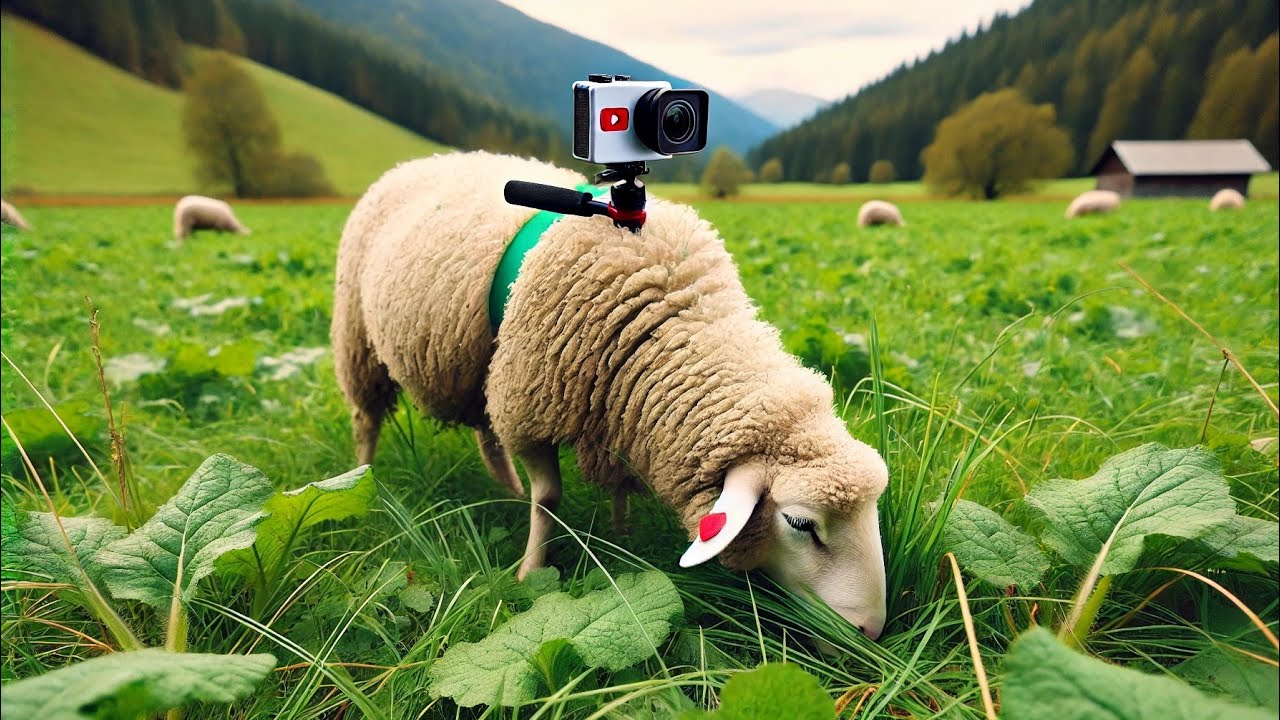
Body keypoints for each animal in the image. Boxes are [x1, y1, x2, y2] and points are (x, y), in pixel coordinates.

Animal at [332, 152, 890, 638]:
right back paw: (364, 477)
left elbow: (620, 483)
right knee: (366, 418)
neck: (669, 303)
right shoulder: (529, 404)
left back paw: (505, 488)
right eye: (801, 523)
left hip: (476, 365)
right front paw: (530, 572)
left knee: (484, 432)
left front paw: (622, 539)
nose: (870, 631)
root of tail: (411, 163)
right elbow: (549, 499)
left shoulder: (619, 409)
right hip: (358, 339)